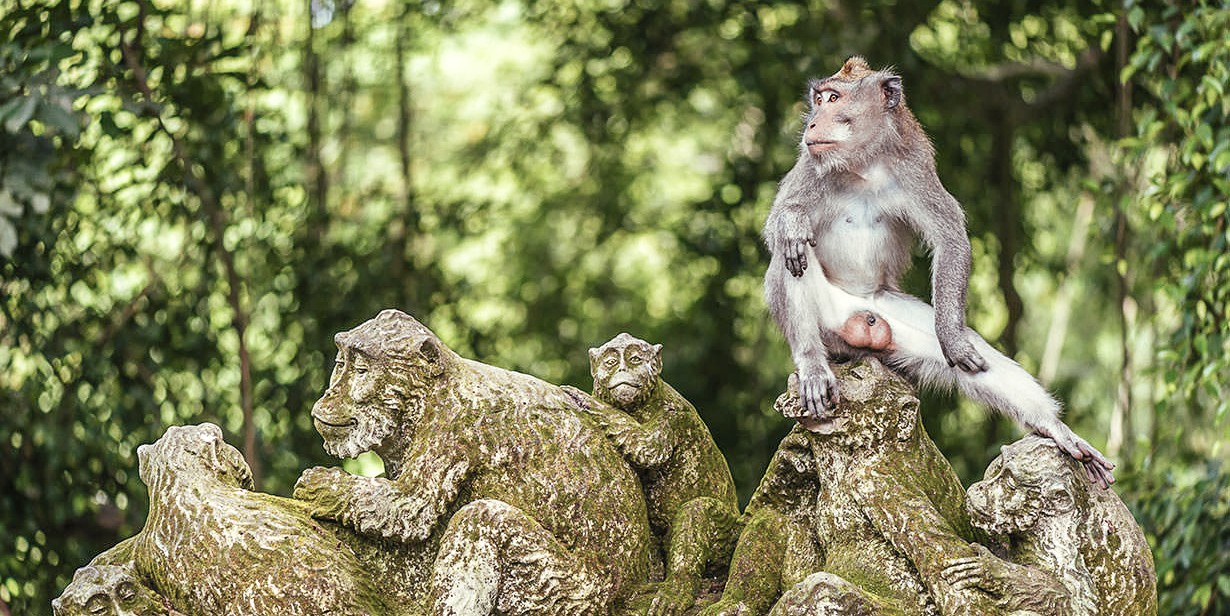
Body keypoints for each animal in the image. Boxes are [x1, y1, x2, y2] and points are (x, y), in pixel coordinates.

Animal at [762, 56, 1114, 487]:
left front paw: (954, 342)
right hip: (827, 323)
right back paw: (812, 363)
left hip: (889, 319)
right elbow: (777, 228)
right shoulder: (810, 167)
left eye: (833, 98)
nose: (812, 123)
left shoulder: (916, 169)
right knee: (790, 256)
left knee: (973, 353)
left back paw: (1052, 426)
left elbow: (951, 241)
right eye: (818, 99)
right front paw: (791, 221)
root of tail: (859, 313)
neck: (864, 166)